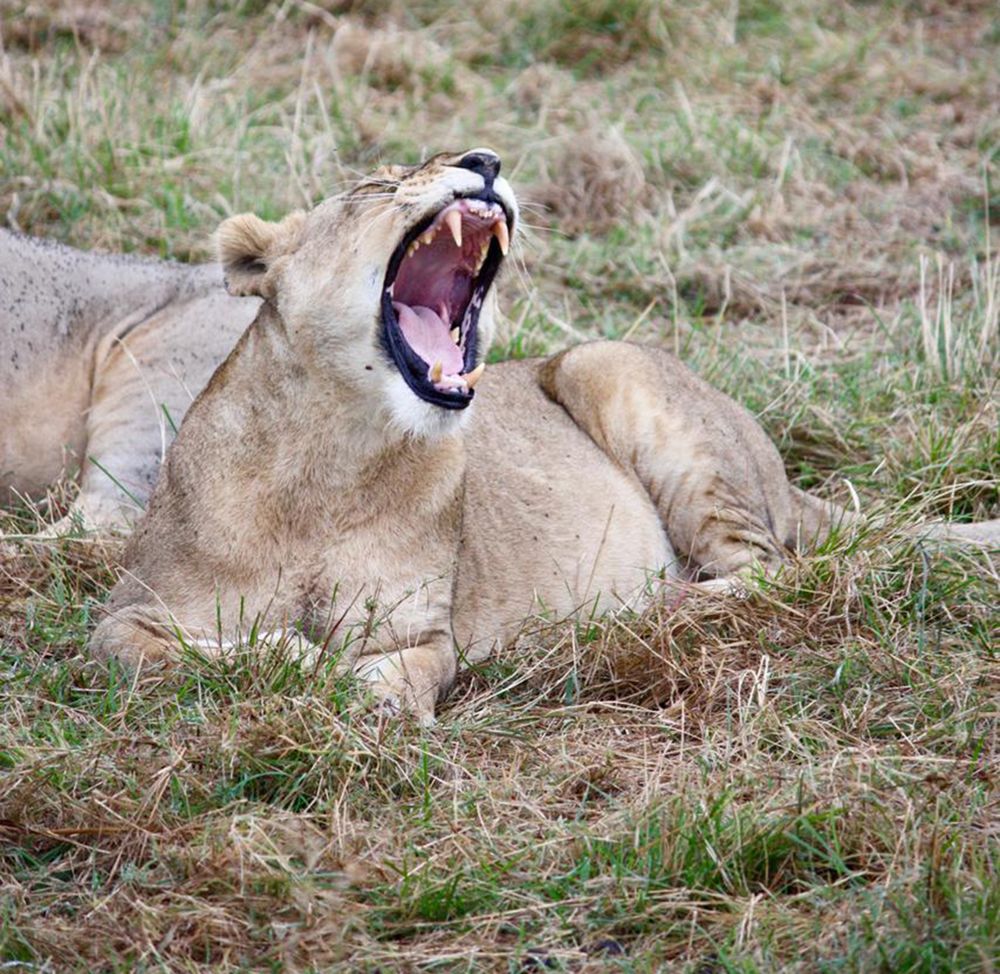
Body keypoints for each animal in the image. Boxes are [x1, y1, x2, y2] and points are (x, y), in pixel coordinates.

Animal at [74, 148, 997, 722]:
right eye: (374, 184)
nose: (484, 161)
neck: (332, 454)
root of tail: (777, 465)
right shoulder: (126, 617)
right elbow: (181, 652)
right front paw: (296, 662)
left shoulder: (423, 632)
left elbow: (411, 668)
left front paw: (371, 699)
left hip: (606, 366)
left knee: (780, 574)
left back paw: (626, 616)